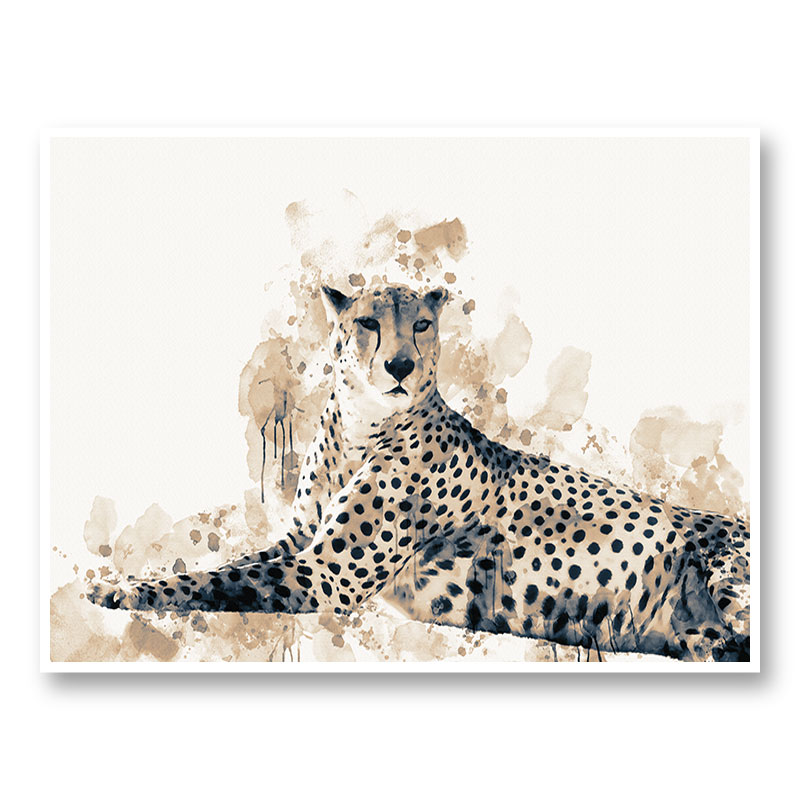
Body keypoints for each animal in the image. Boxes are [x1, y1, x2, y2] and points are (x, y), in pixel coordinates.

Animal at [89, 283, 751, 662]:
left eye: (423, 325)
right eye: (368, 323)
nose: (401, 365)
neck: (357, 429)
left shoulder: (325, 575)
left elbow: (215, 581)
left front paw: (124, 590)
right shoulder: (299, 545)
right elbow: (227, 566)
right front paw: (128, 579)